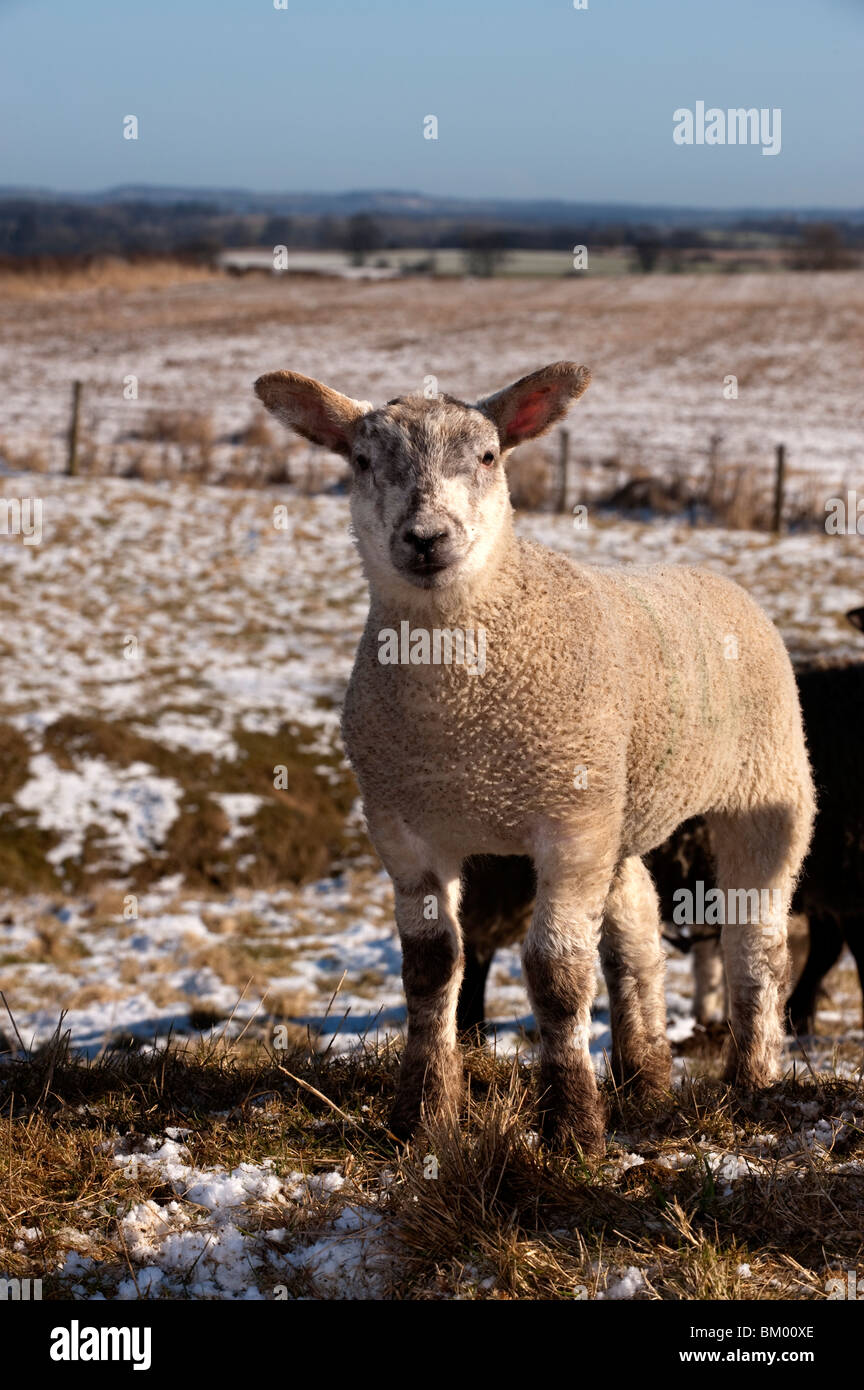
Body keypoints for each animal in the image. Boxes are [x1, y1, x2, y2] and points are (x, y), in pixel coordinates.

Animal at [254, 362, 815, 1154]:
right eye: (360, 461)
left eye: (489, 456)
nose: (426, 539)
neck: (458, 716)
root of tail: (712, 573)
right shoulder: (404, 828)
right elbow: (431, 969)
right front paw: (422, 1115)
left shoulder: (568, 824)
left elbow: (555, 974)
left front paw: (572, 1127)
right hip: (616, 799)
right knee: (635, 932)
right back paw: (645, 1078)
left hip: (764, 788)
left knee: (756, 938)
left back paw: (750, 1080)